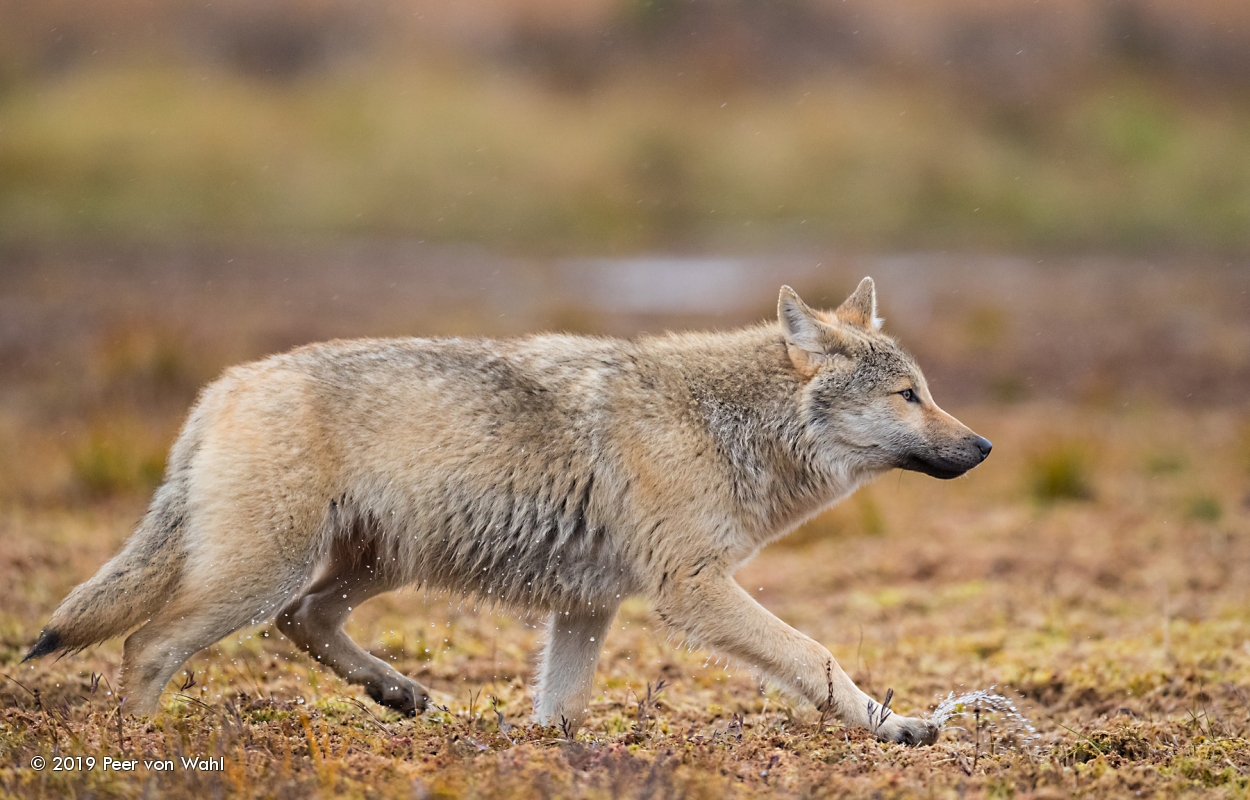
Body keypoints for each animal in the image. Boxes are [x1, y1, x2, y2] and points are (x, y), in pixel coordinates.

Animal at [25, 277, 990, 745]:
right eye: (909, 395)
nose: (982, 447)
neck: (727, 424)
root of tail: (222, 386)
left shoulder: (587, 608)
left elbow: (561, 714)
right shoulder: (693, 591)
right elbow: (817, 657)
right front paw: (900, 726)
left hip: (366, 566)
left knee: (303, 623)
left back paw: (399, 693)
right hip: (262, 574)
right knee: (149, 646)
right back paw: (137, 755)